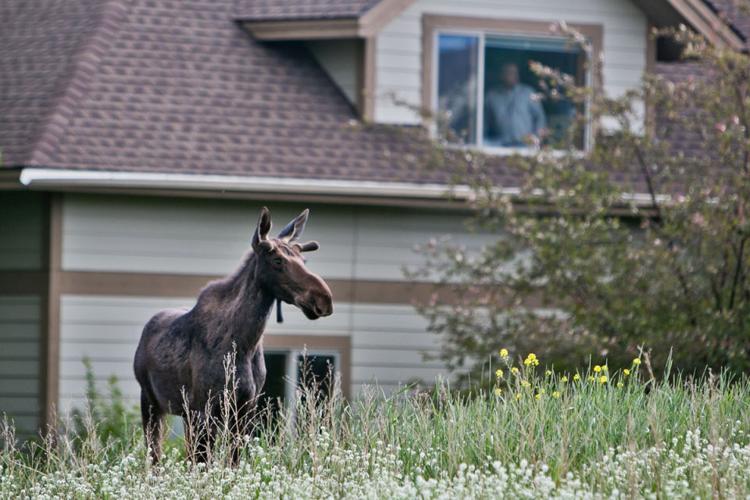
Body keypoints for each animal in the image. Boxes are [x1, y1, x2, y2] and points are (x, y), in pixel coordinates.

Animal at [133, 207, 333, 465]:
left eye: (304, 260)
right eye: (277, 260)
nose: (324, 299)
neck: (245, 343)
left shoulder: (244, 410)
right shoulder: (206, 410)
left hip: (185, 413)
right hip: (151, 401)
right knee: (155, 457)